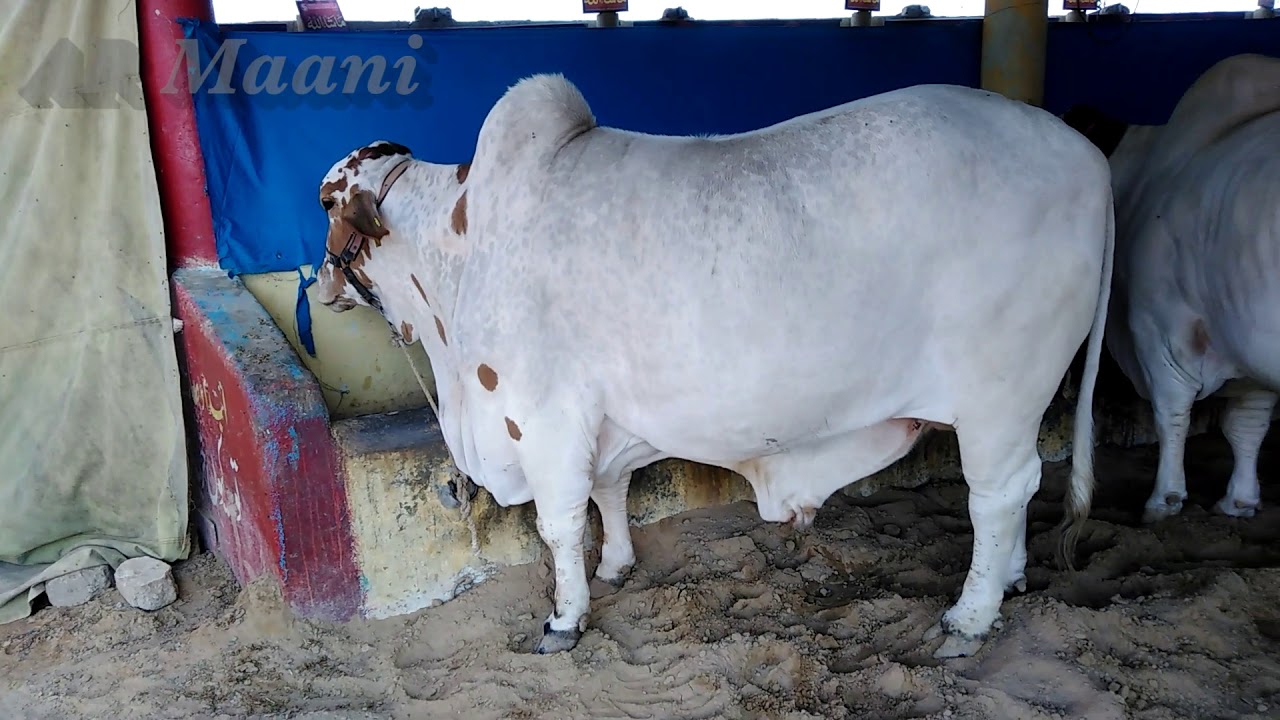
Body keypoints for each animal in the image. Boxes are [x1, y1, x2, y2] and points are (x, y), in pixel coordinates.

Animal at [313, 73, 1115, 659]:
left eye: (325, 203)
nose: (320, 284)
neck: (460, 250)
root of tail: (1087, 154)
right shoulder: (603, 418)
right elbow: (609, 491)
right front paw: (617, 565)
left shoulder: (542, 416)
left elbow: (560, 523)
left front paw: (565, 619)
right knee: (1019, 493)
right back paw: (1011, 579)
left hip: (999, 395)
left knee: (999, 494)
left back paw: (970, 617)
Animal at [1058, 54, 1280, 561]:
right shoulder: (1248, 350)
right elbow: (1247, 426)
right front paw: (1240, 500)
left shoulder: (1162, 330)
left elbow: (1172, 414)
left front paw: (1164, 499)